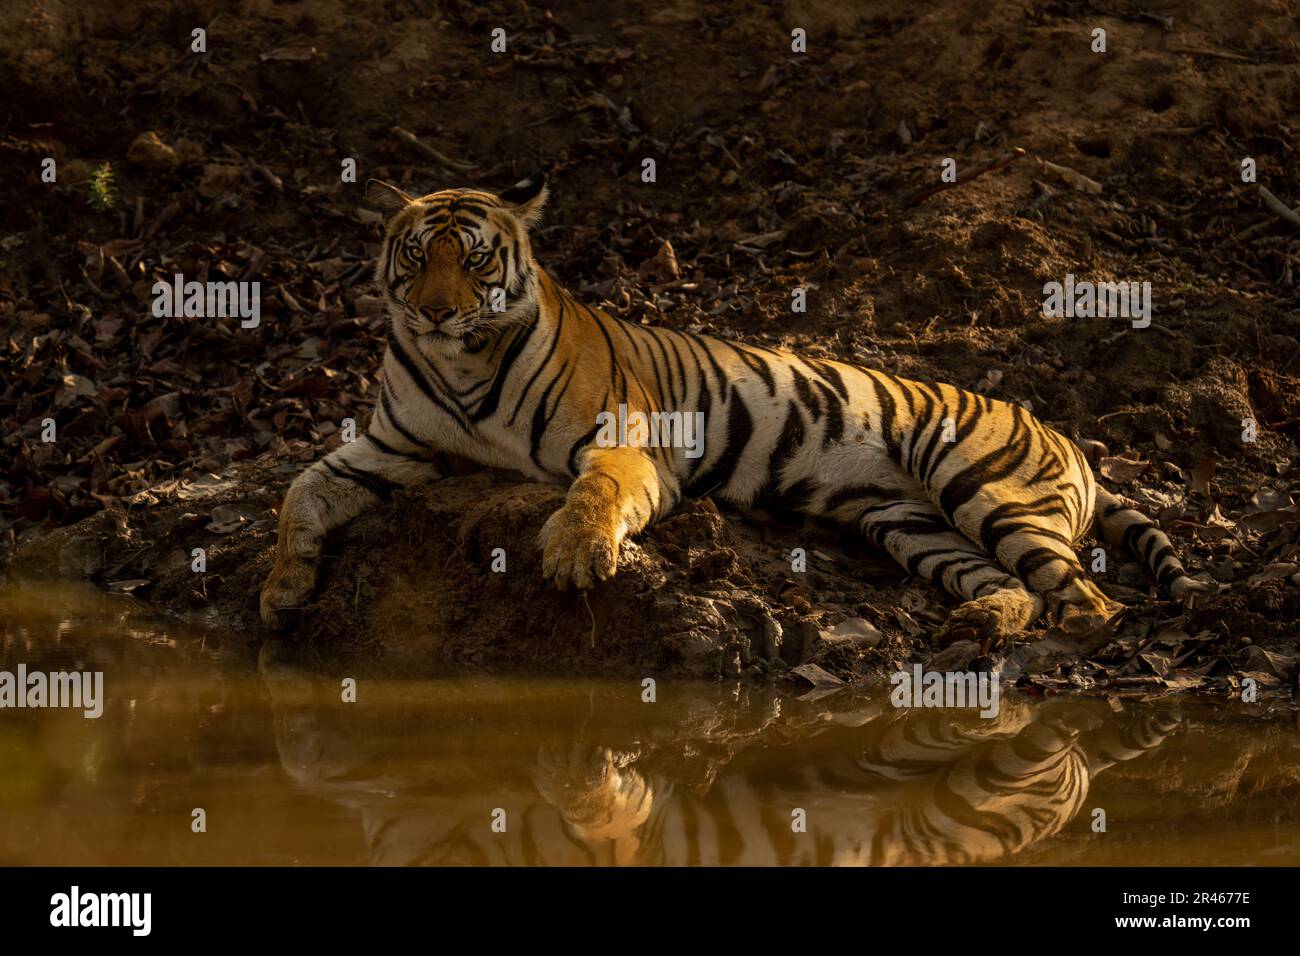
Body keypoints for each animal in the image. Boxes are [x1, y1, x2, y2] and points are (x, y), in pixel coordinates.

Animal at [259, 172, 1198, 641]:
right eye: (418, 257)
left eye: (477, 259)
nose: (435, 312)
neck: (460, 364)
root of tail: (1064, 433)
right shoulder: (391, 448)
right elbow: (300, 492)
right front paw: (281, 590)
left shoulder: (627, 439)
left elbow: (593, 493)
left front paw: (572, 556)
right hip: (908, 523)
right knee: (1010, 585)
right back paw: (980, 623)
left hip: (977, 484)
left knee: (1089, 598)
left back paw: (1068, 631)